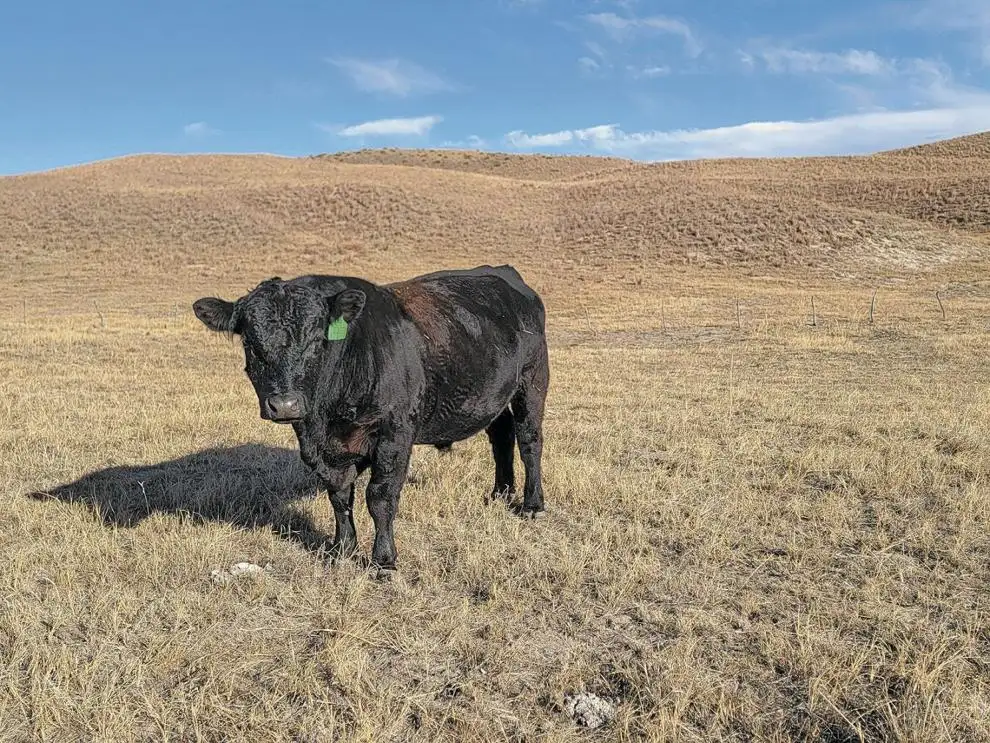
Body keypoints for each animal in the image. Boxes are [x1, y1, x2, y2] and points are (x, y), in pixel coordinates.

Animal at [192, 265, 549, 571]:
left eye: (316, 339)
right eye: (250, 342)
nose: (285, 404)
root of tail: (503, 272)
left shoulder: (395, 434)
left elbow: (380, 496)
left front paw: (384, 560)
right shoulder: (322, 449)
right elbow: (339, 495)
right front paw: (342, 549)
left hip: (532, 382)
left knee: (529, 441)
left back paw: (532, 504)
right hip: (494, 395)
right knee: (501, 437)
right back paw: (500, 493)